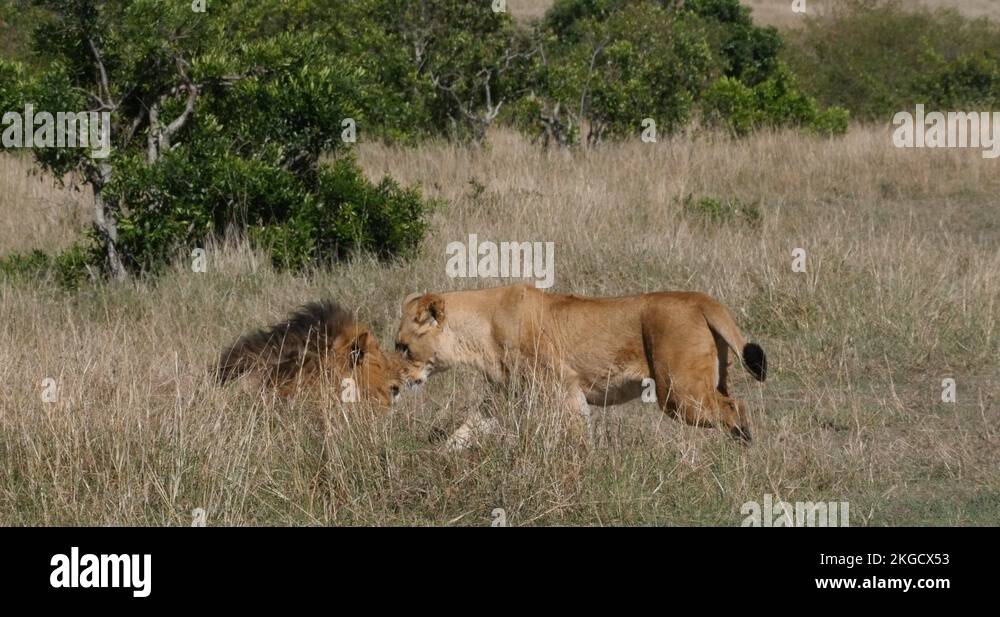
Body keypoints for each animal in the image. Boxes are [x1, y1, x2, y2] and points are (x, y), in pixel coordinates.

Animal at [395, 284, 767, 442]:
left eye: (403, 347)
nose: (395, 384)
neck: (479, 329)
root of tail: (700, 299)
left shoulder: (564, 388)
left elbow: (577, 435)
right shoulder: (503, 396)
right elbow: (466, 429)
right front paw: (436, 458)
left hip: (679, 393)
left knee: (735, 408)